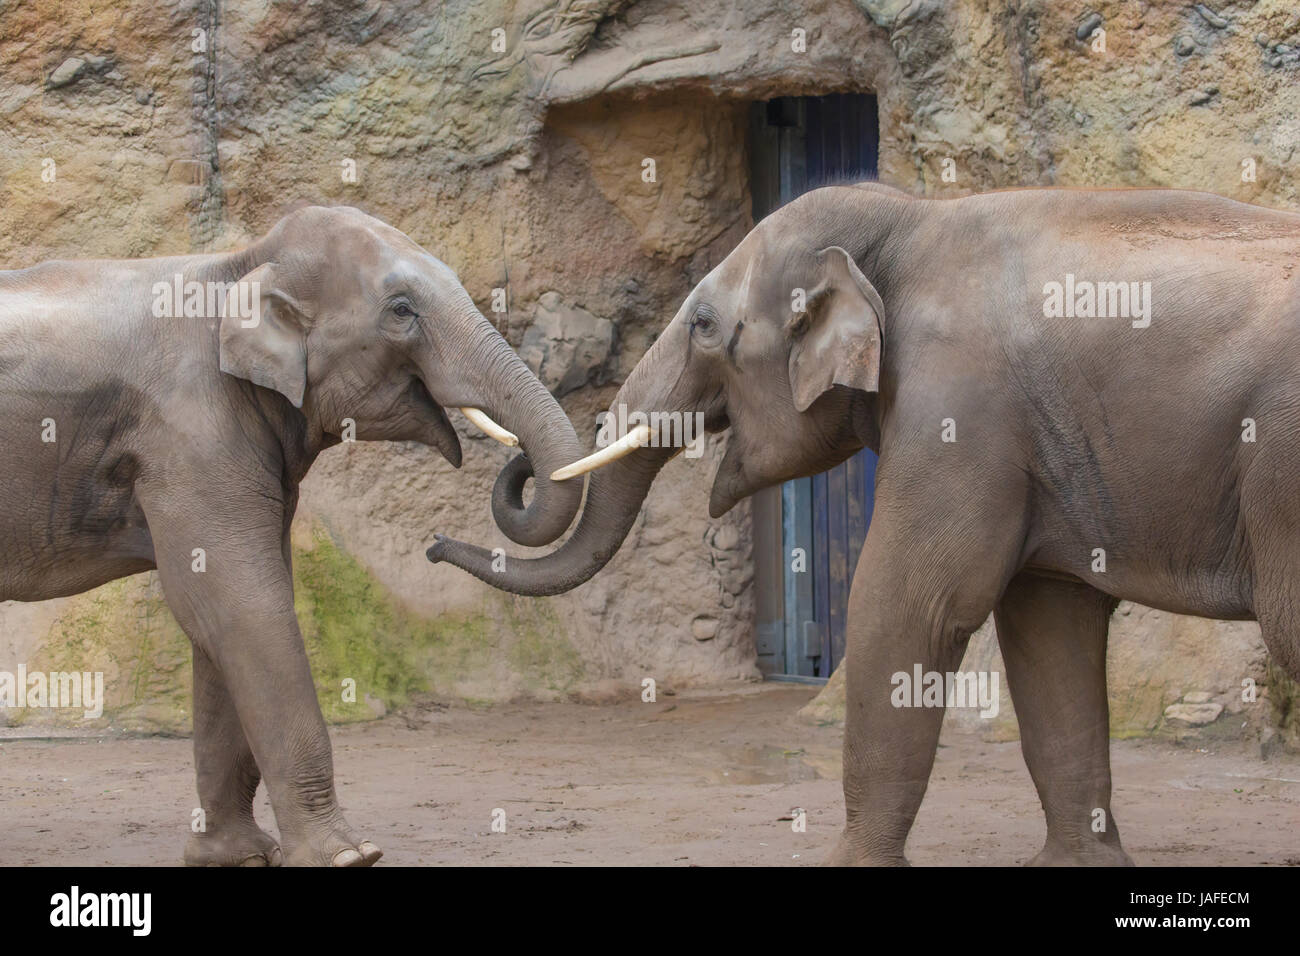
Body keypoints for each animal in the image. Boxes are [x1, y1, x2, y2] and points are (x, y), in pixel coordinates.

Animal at [0, 206, 583, 866]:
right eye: (401, 310)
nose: (434, 544)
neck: (239, 265)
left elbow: (224, 616)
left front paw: (238, 856)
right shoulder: (188, 432)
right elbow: (243, 605)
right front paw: (351, 856)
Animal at [430, 181, 1300, 865]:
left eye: (704, 324)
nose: (435, 544)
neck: (910, 218)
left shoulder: (961, 405)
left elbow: (914, 606)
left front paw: (847, 864)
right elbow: (1047, 625)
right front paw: (1074, 867)